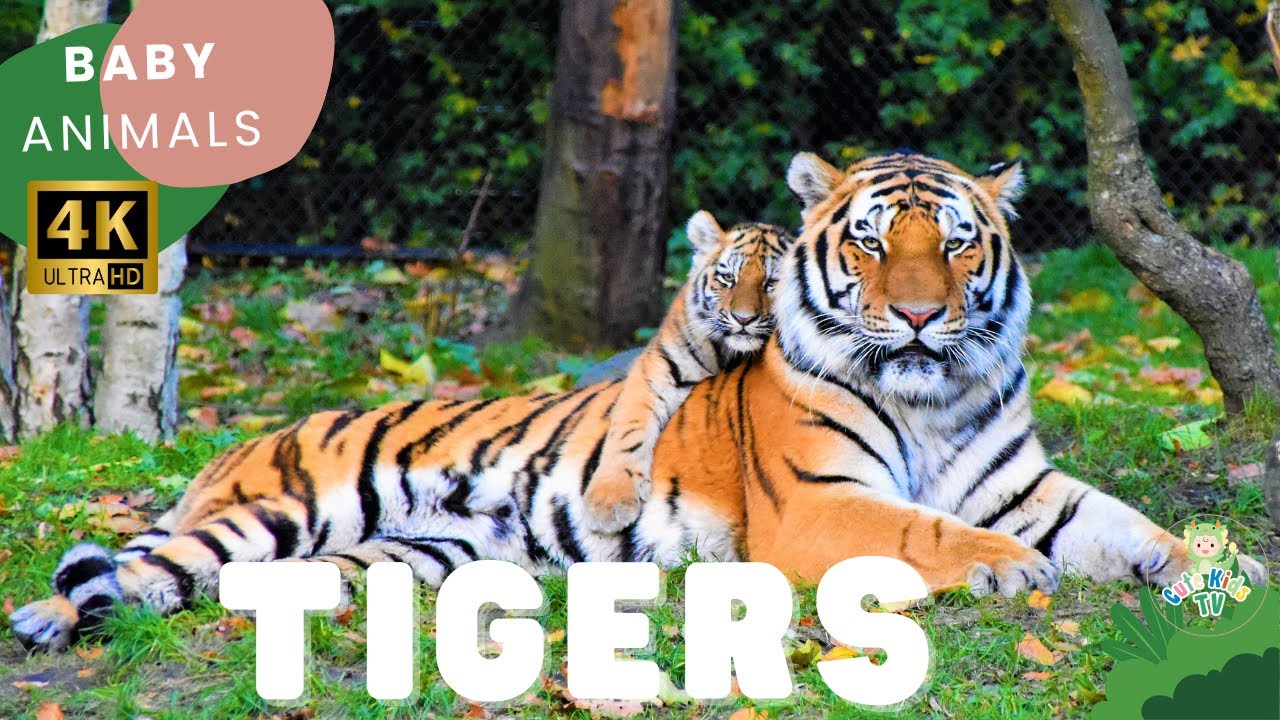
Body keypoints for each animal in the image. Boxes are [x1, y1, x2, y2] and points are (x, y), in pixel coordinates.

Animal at [582, 211, 793, 531]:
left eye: (772, 282)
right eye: (728, 278)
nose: (743, 319)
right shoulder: (657, 367)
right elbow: (629, 426)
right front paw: (609, 502)